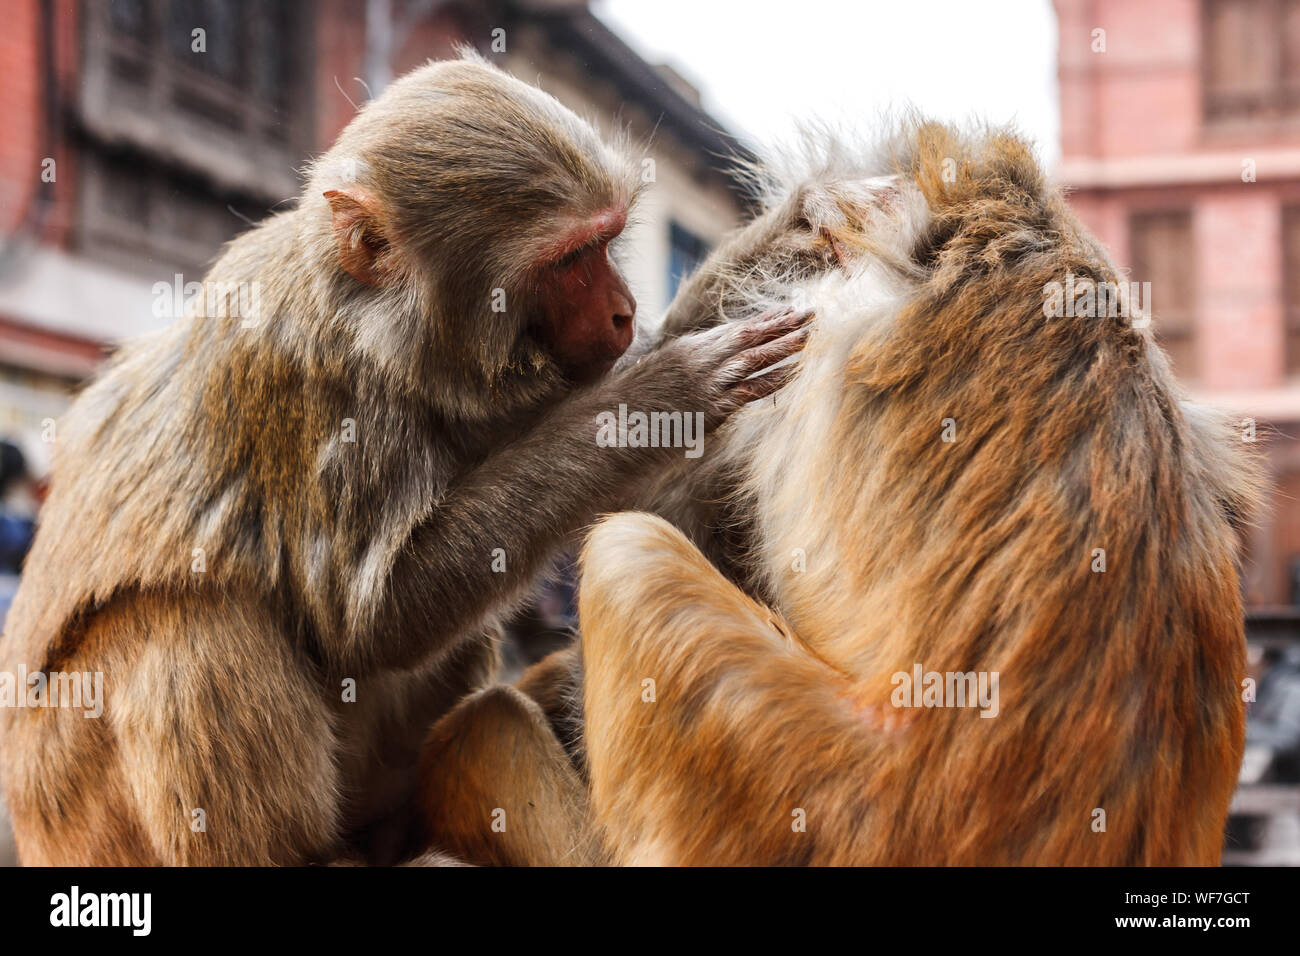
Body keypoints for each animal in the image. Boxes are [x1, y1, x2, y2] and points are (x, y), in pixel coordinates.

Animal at [0, 54, 812, 866]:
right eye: (571, 260)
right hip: (82, 811)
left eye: (607, 241)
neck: (372, 322)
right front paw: (666, 392)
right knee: (188, 616)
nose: (623, 311)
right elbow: (379, 617)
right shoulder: (314, 382)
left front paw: (788, 237)